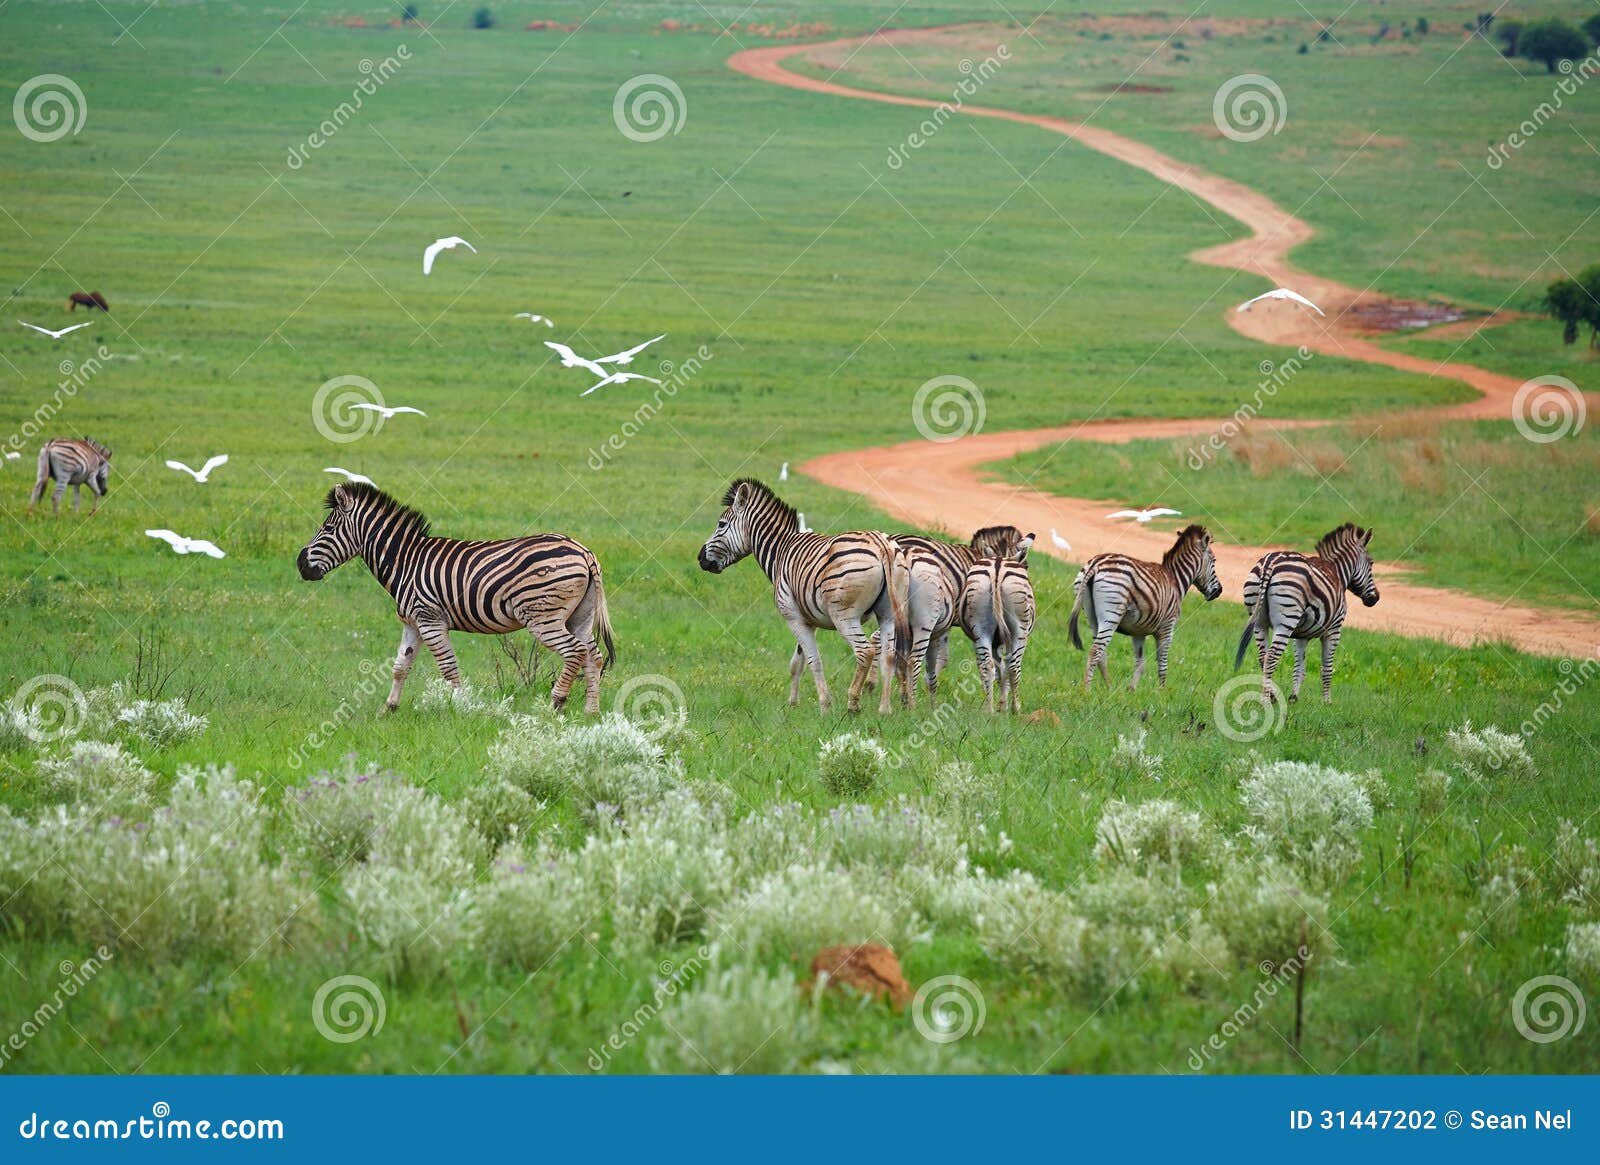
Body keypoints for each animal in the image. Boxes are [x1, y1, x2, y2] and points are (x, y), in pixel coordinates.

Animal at [296, 483, 615, 713]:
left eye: (327, 529)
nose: (300, 564)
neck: (406, 561)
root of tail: (584, 552)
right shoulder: (412, 623)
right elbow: (400, 667)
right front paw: (389, 709)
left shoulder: (430, 620)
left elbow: (448, 667)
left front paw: (463, 708)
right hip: (580, 616)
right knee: (593, 656)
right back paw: (591, 711)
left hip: (542, 617)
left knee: (575, 651)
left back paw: (556, 702)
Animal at [698, 478, 896, 714]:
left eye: (721, 524)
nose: (700, 558)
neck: (781, 551)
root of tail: (882, 546)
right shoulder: (806, 619)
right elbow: (797, 663)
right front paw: (793, 703)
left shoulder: (792, 616)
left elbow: (814, 661)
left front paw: (825, 706)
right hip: (888, 614)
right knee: (889, 654)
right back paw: (884, 709)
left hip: (844, 616)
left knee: (865, 651)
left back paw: (853, 704)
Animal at [957, 549, 1036, 713]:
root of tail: (997, 568)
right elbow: (1005, 668)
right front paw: (1004, 705)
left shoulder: (995, 642)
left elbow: (999, 670)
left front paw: (1000, 705)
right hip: (1019, 630)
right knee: (1013, 667)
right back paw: (1016, 709)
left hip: (980, 626)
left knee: (987, 666)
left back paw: (989, 710)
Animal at [1069, 525, 1222, 688]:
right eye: (1214, 560)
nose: (1219, 591)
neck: (1176, 580)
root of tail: (1096, 563)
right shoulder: (1167, 628)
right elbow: (1162, 664)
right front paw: (1162, 692)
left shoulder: (1138, 632)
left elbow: (1140, 664)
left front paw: (1131, 690)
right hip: (1111, 615)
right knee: (1095, 651)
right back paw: (1087, 689)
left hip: (1091, 615)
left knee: (1101, 654)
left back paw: (1109, 688)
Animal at [1234, 524, 1378, 703]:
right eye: (1371, 563)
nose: (1375, 598)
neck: (1338, 573)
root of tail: (1270, 562)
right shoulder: (1334, 630)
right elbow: (1327, 668)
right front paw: (1327, 702)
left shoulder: (1301, 635)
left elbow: (1299, 668)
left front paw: (1294, 697)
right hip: (1286, 621)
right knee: (1271, 657)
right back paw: (1266, 700)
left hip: (1259, 621)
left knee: (1263, 656)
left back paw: (1272, 695)